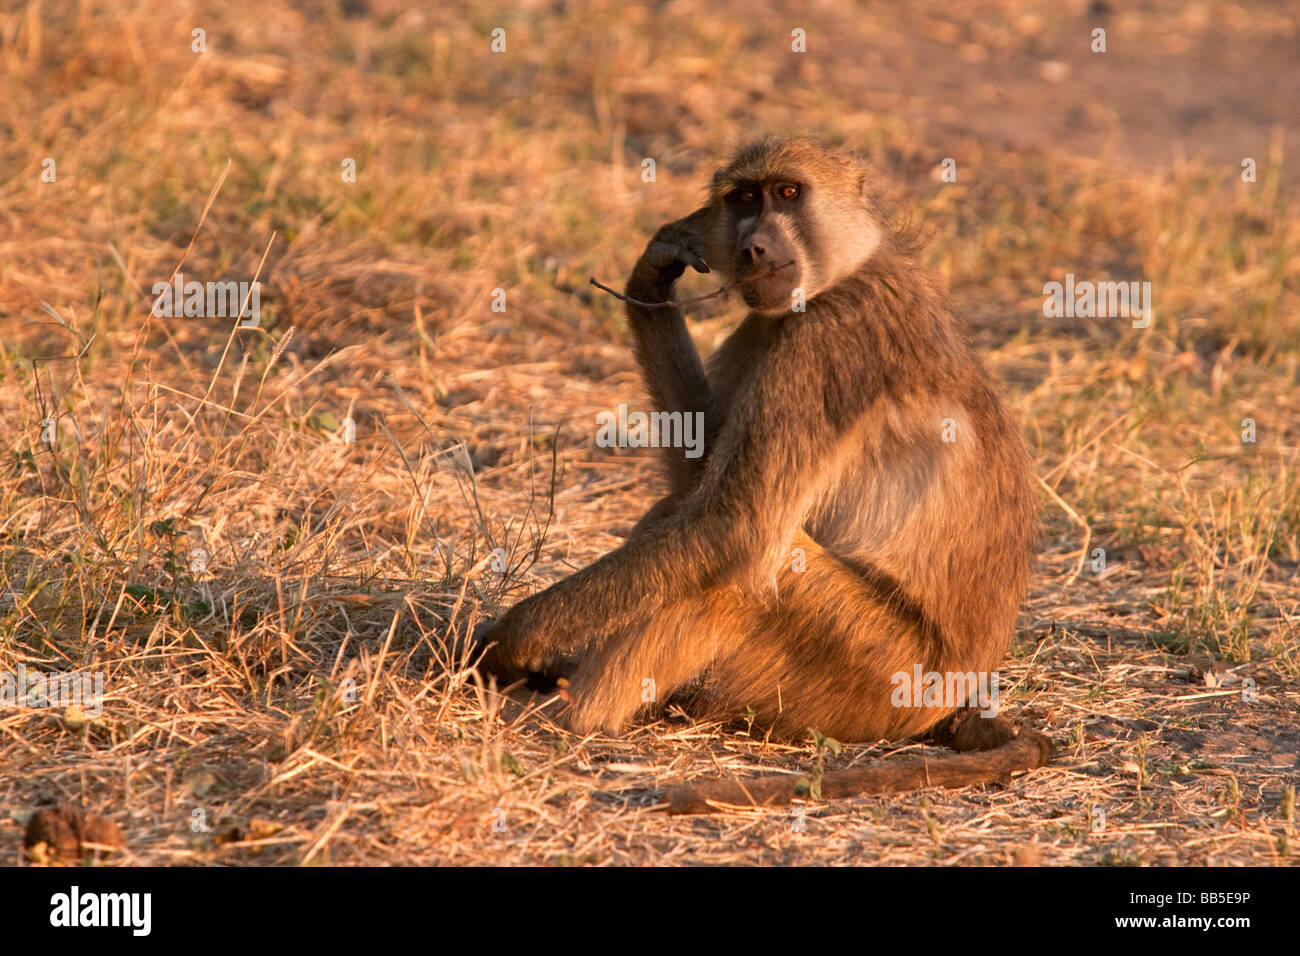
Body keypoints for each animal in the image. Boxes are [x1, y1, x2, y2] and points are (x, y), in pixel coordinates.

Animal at [475, 135, 1051, 812]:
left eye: (788, 193)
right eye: (745, 198)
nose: (753, 247)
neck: (846, 271)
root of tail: (961, 690)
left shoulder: (826, 339)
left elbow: (732, 524)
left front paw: (513, 638)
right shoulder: (767, 323)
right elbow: (698, 469)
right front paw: (652, 277)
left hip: (879, 675)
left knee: (748, 565)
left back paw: (565, 718)